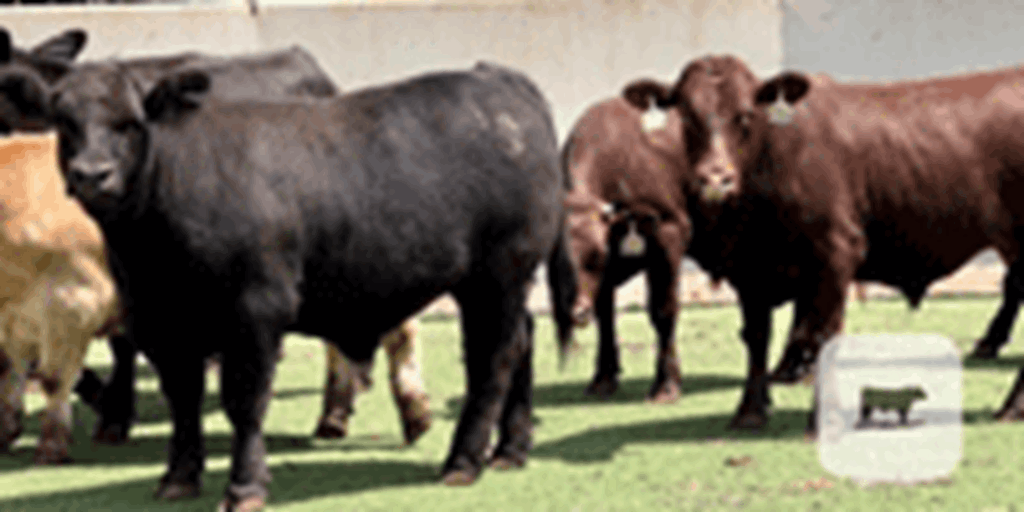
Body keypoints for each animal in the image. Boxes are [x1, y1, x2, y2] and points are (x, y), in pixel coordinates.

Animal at [0, 131, 119, 464]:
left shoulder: (72, 301)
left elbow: (52, 378)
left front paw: (52, 445)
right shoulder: (17, 316)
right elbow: (10, 368)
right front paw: (6, 430)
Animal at [552, 97, 691, 402]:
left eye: (596, 255)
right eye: (557, 261)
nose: (577, 311)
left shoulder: (668, 235)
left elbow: (663, 310)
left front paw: (666, 384)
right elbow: (605, 315)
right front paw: (603, 378)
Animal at [620, 54, 1024, 432]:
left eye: (745, 115)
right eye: (686, 116)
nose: (715, 179)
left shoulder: (835, 252)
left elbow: (820, 335)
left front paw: (822, 420)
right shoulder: (750, 267)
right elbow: (757, 336)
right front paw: (749, 411)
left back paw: (1012, 406)